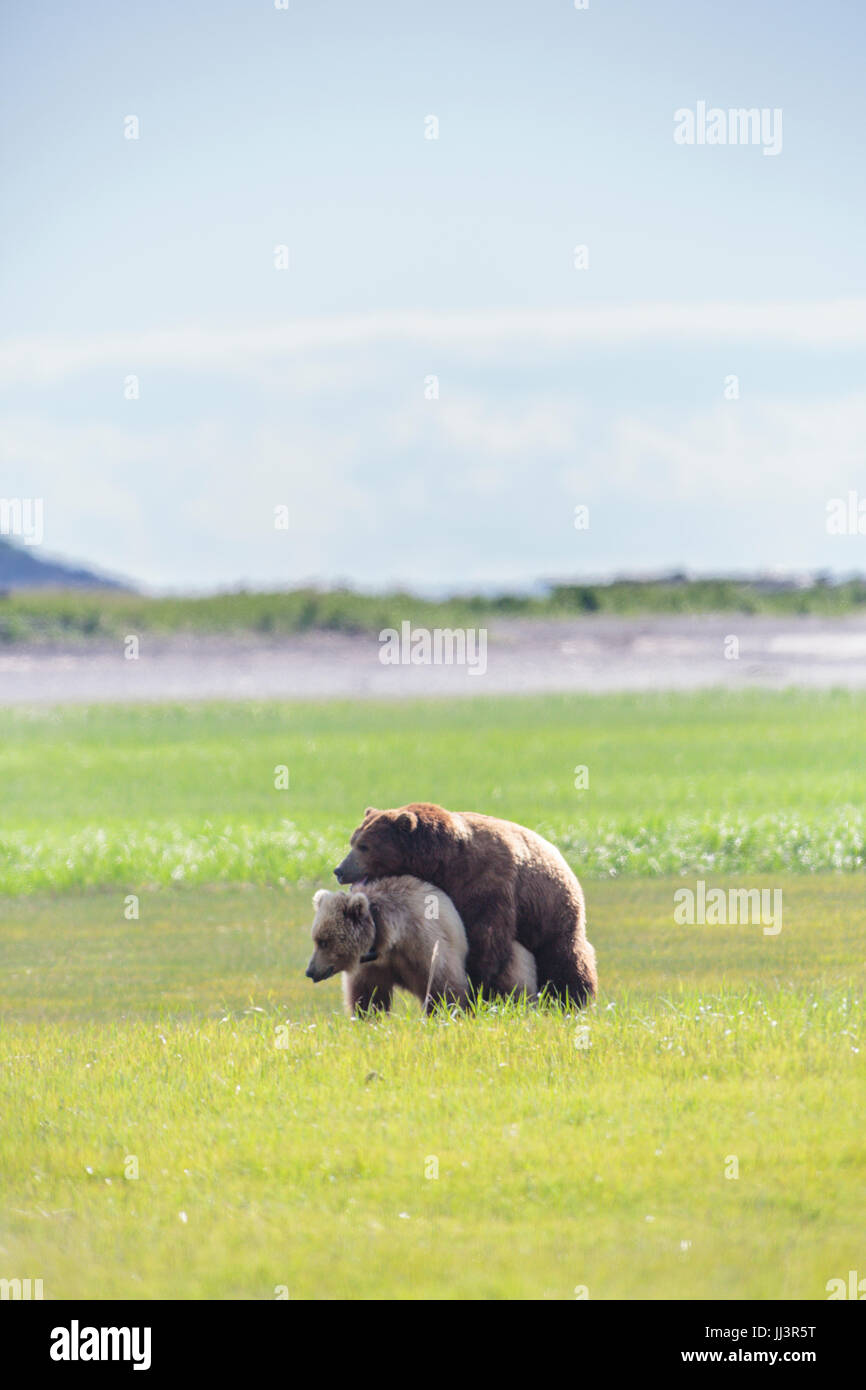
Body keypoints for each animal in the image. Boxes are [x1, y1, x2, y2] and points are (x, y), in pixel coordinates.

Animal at [306, 875, 537, 1016]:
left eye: (324, 941)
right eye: (316, 939)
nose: (310, 971)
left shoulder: (428, 945)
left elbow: (444, 988)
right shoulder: (373, 965)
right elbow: (368, 997)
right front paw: (368, 1018)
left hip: (506, 956)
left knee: (512, 989)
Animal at [334, 804, 597, 1007]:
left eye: (364, 846)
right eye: (352, 840)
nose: (339, 870)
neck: (442, 862)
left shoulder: (485, 883)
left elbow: (485, 940)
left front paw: (479, 989)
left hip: (552, 914)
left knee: (566, 960)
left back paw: (572, 999)